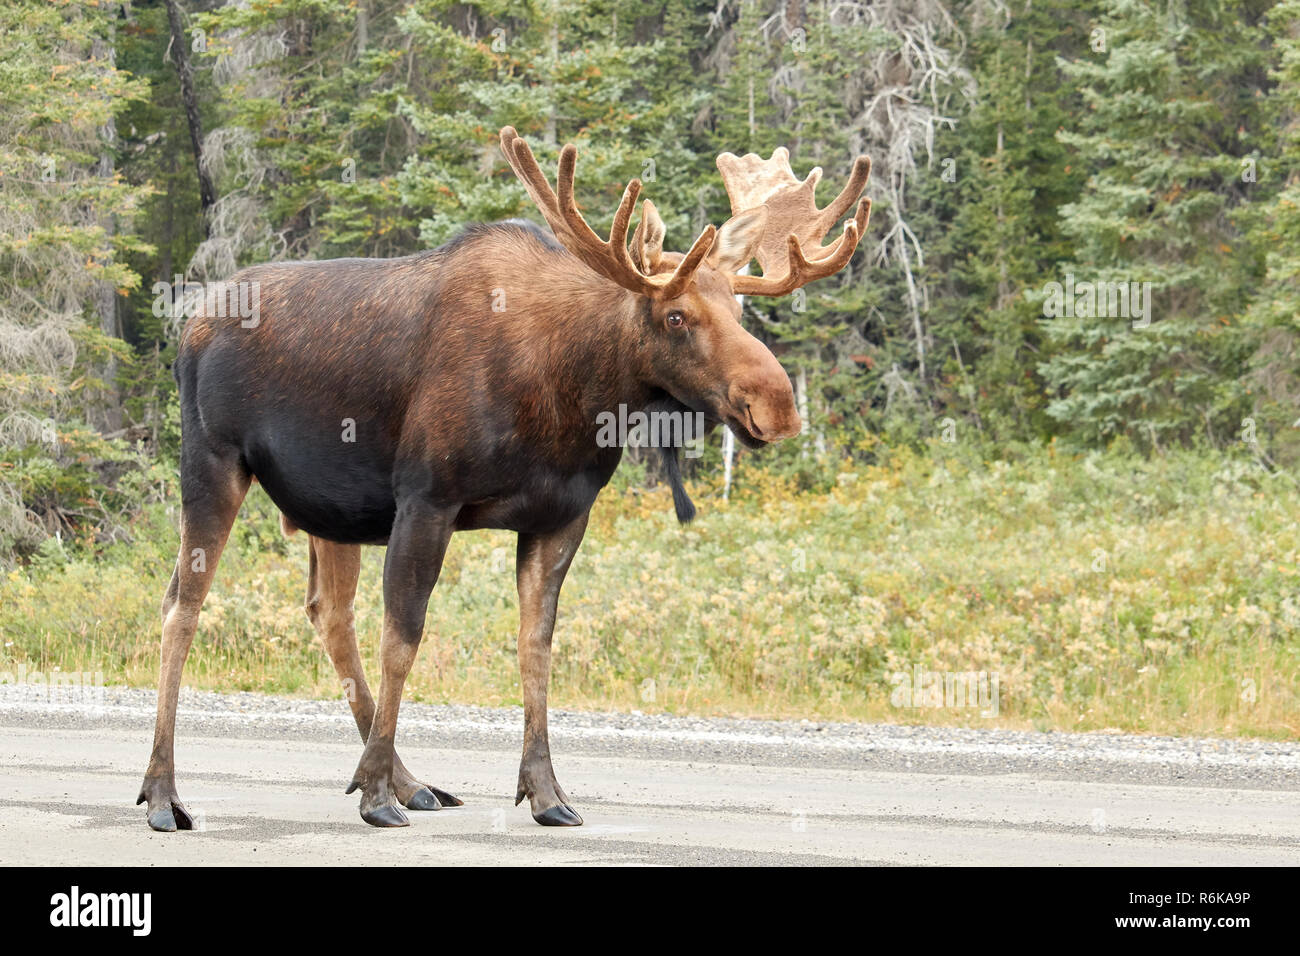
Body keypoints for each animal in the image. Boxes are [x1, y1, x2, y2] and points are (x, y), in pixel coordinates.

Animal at [137, 126, 871, 831]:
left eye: (741, 312)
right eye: (676, 316)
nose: (776, 405)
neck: (570, 397)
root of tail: (189, 323)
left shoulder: (560, 516)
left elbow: (535, 646)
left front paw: (543, 792)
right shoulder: (426, 498)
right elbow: (404, 637)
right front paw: (373, 796)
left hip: (331, 509)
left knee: (328, 614)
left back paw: (411, 780)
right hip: (213, 464)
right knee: (180, 607)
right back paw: (163, 794)